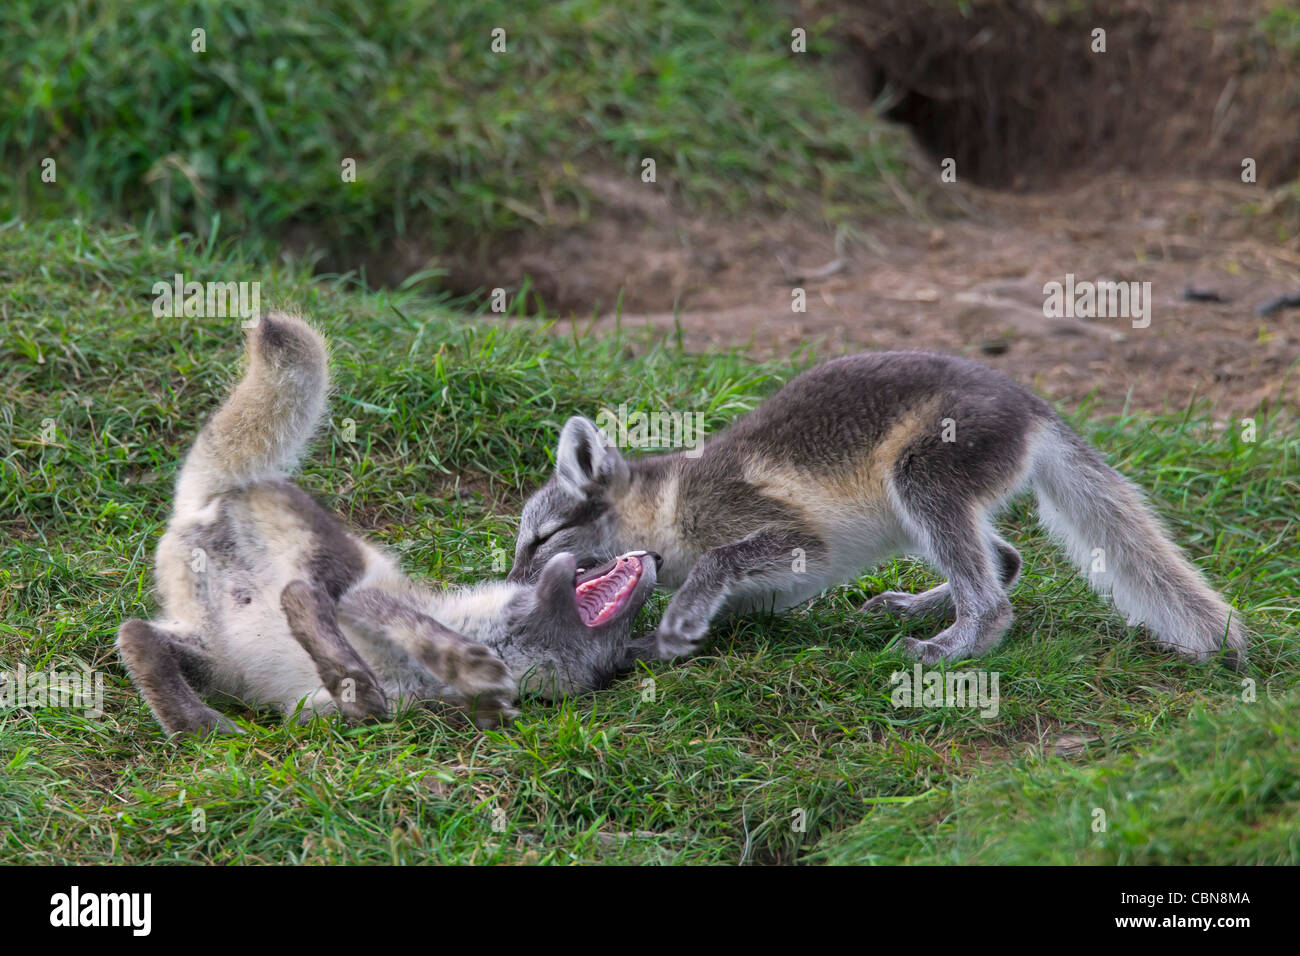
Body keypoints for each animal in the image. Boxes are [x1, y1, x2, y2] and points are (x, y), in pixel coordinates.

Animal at [116, 313, 659, 737]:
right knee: (301, 591)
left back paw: (199, 725)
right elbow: (416, 633)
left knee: (136, 634)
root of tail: (226, 487)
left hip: (218, 661)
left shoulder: (318, 710)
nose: (653, 557)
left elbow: (364, 704)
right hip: (328, 563)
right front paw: (471, 667)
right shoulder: (373, 603)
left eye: (616, 650)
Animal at [509, 351, 1246, 667]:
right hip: (920, 512)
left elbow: (718, 562)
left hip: (920, 479)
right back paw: (915, 607)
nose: (511, 592)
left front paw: (681, 617)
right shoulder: (770, 594)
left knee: (992, 595)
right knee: (1006, 559)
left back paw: (953, 644)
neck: (665, 507)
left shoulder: (793, 540)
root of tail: (1034, 405)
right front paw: (651, 646)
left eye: (540, 539)